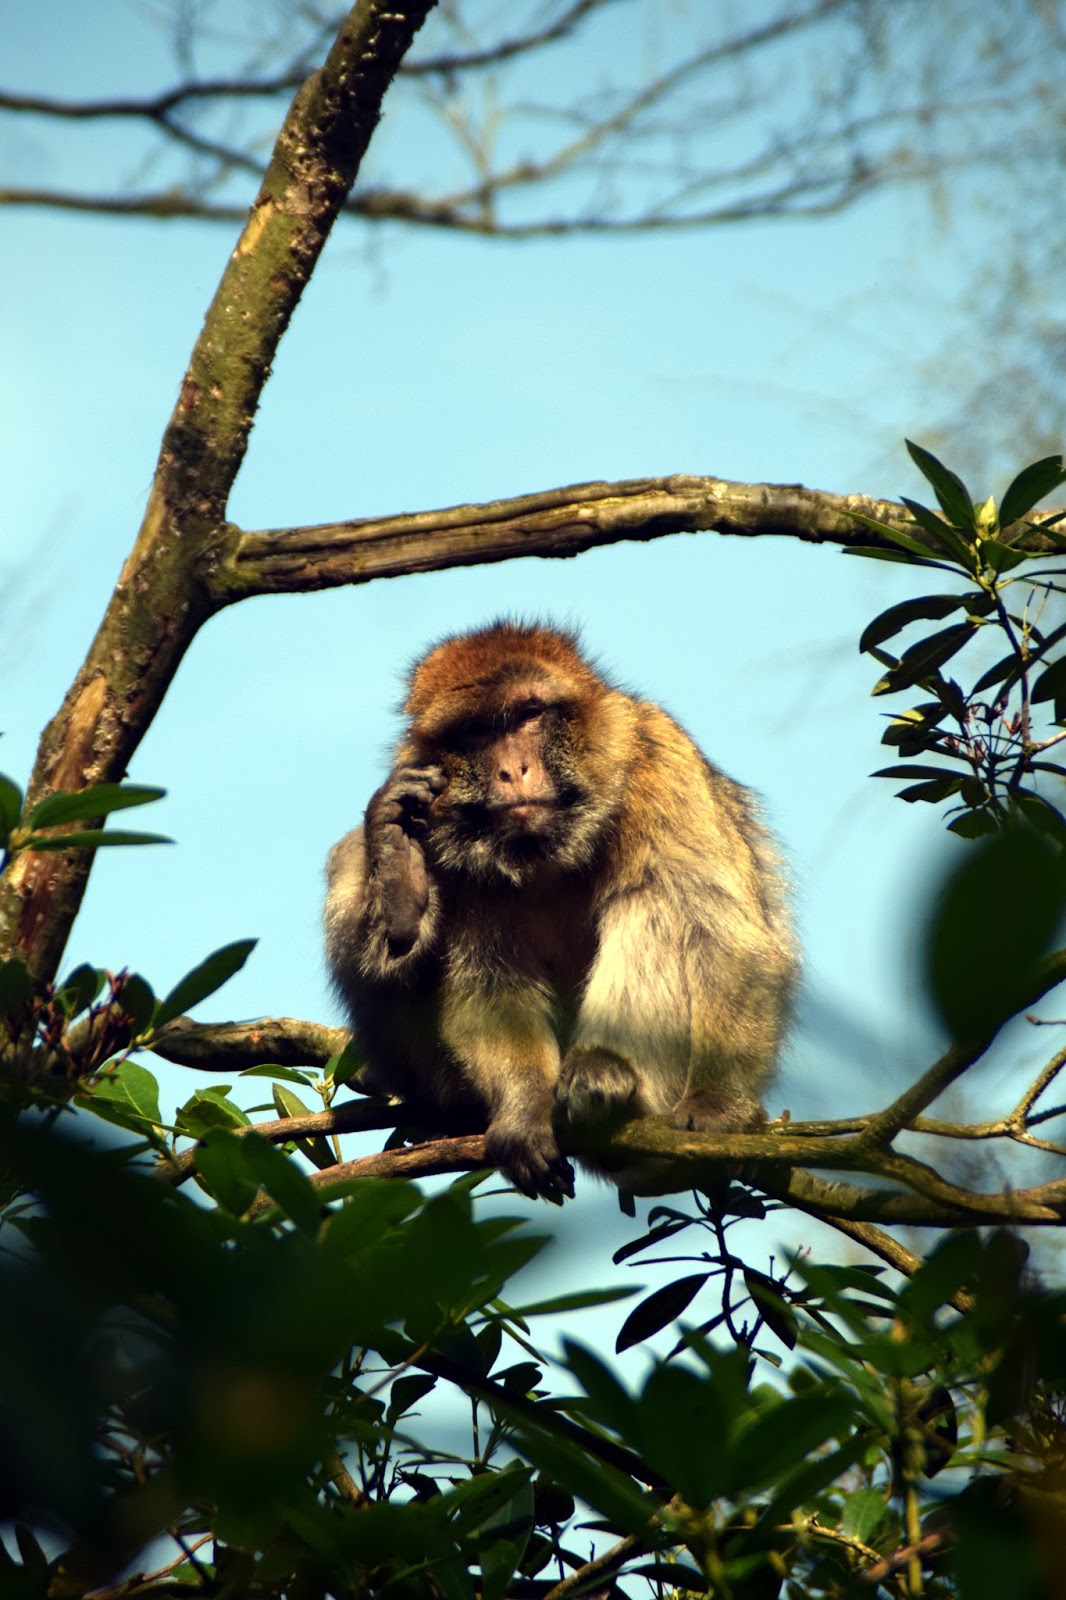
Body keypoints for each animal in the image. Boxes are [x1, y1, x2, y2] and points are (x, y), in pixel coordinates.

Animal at [325, 621, 796, 1203]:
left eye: (528, 715)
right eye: (476, 733)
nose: (513, 769)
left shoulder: (661, 761)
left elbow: (721, 937)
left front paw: (717, 1105)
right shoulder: (438, 829)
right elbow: (489, 980)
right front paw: (524, 1111)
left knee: (652, 904)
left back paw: (605, 1071)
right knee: (352, 860)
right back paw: (399, 885)